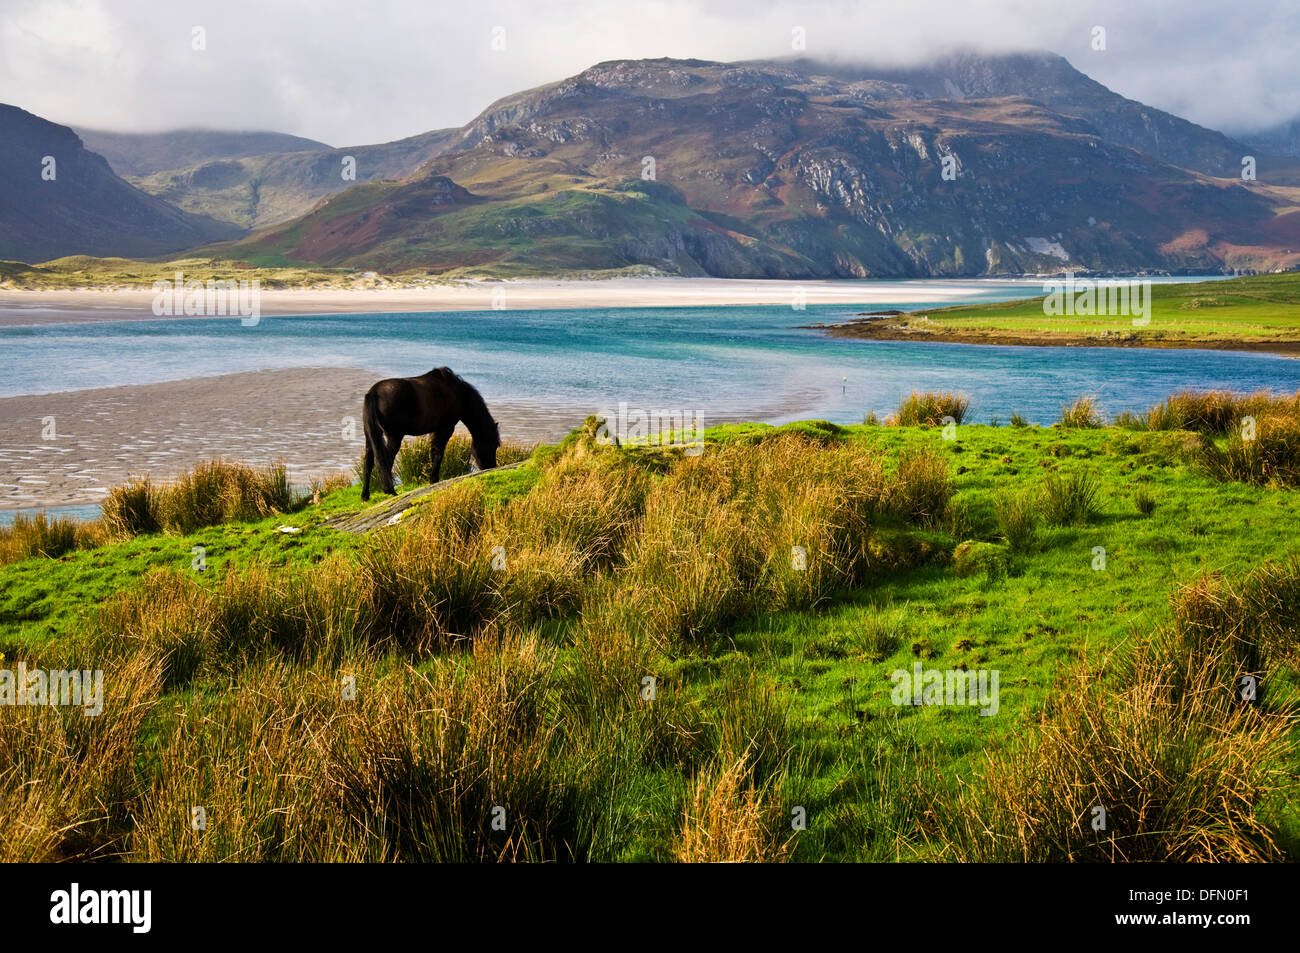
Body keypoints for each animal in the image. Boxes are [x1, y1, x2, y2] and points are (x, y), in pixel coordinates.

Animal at [360, 367, 500, 501]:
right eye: (492, 444)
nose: (491, 467)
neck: (457, 393)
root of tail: (374, 393)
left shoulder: (436, 430)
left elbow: (434, 453)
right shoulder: (445, 428)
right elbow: (438, 454)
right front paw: (434, 480)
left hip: (370, 437)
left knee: (368, 463)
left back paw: (365, 496)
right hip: (394, 436)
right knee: (386, 461)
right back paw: (390, 491)